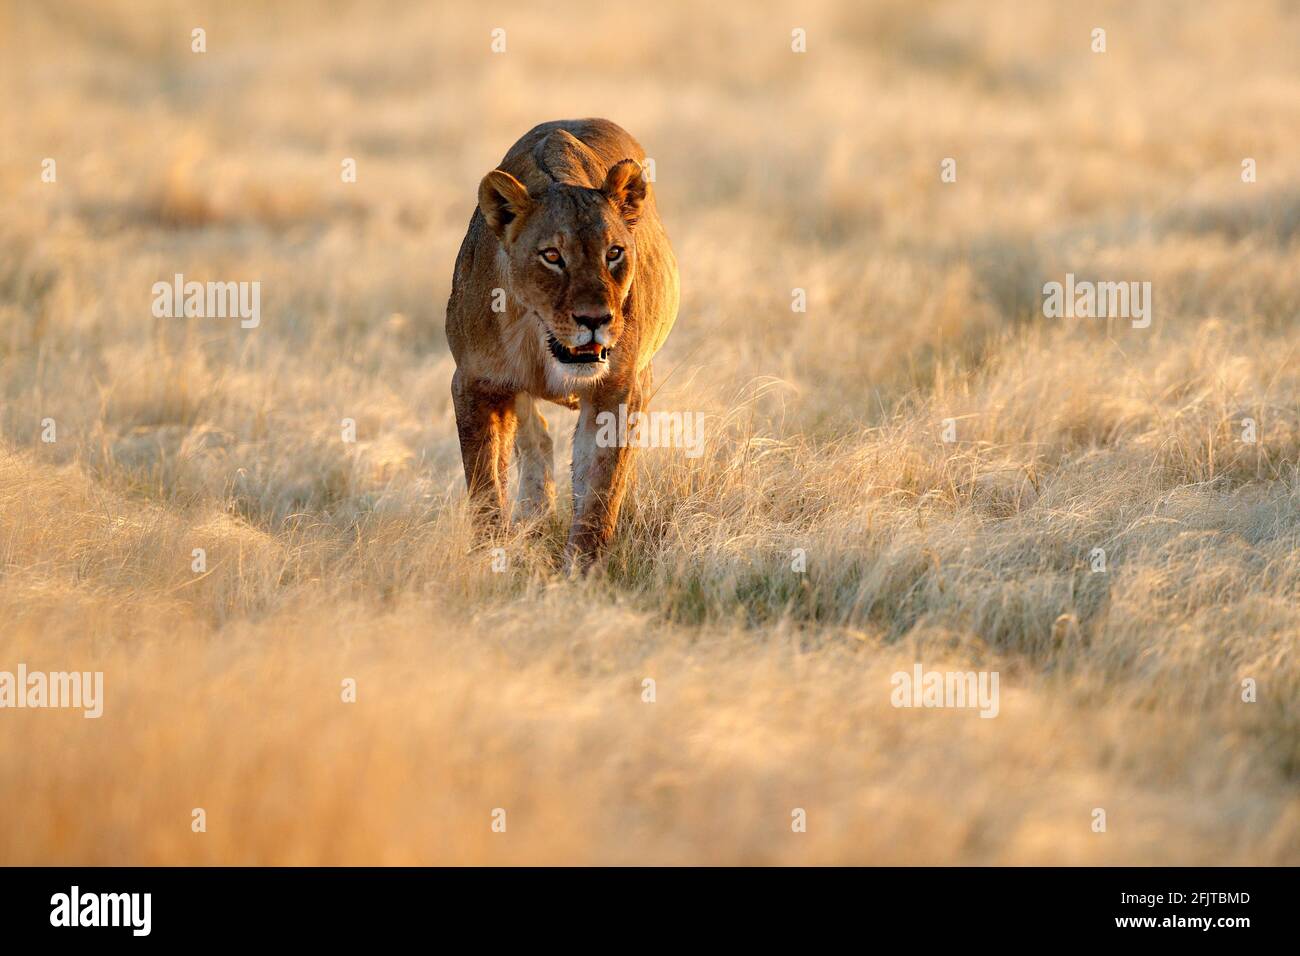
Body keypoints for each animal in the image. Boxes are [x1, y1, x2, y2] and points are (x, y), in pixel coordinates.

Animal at [445, 119, 680, 571]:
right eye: (552, 256)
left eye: (614, 253)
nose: (595, 319)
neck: (539, 340)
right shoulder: (474, 383)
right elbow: (485, 484)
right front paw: (492, 559)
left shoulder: (617, 389)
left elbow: (600, 490)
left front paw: (579, 574)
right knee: (534, 437)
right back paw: (534, 515)